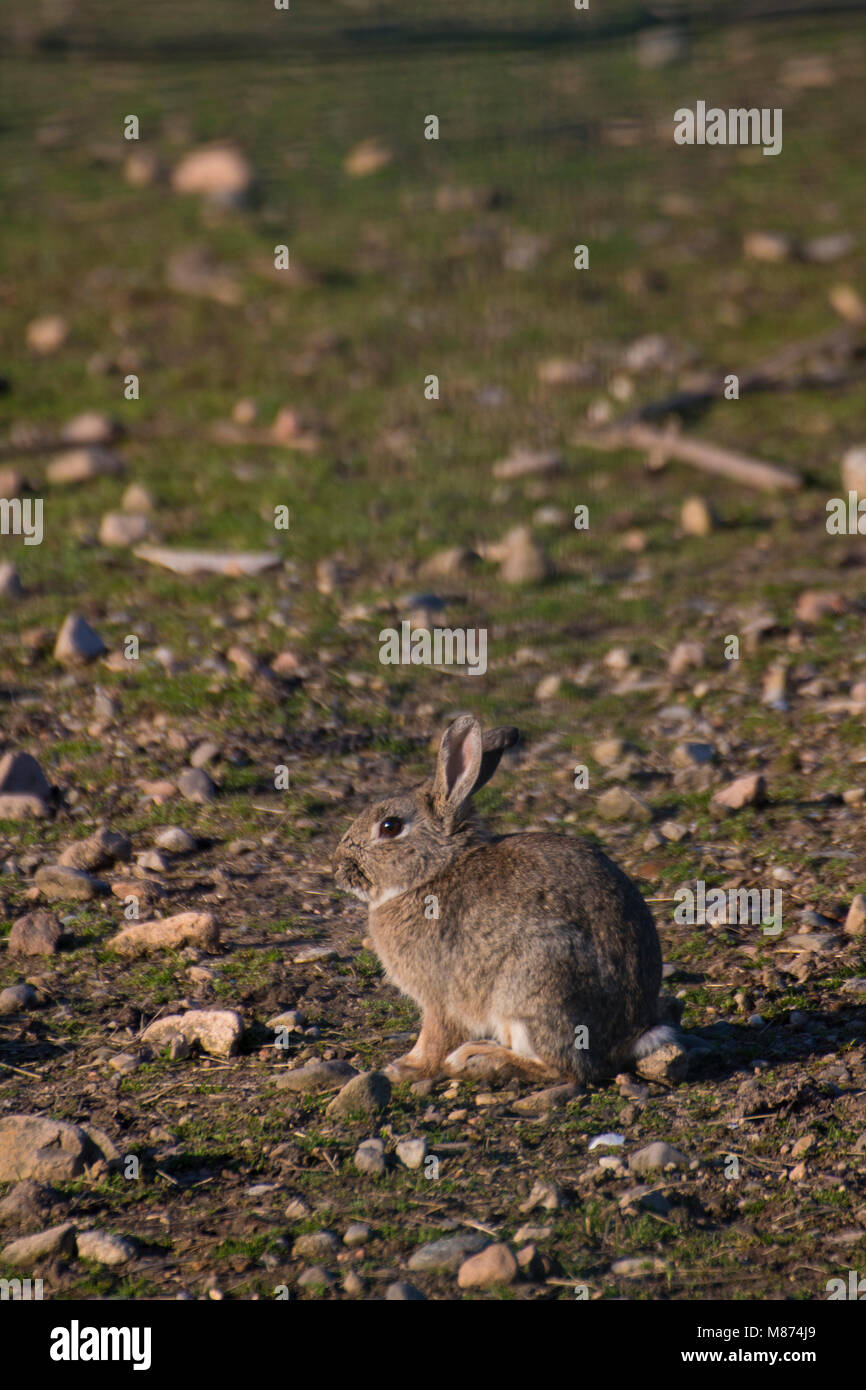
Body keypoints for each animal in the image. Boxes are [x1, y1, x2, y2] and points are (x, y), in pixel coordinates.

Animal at [333, 715, 677, 1084]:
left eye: (390, 826)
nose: (338, 867)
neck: (436, 869)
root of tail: (630, 1037)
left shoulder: (440, 998)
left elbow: (434, 1037)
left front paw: (405, 1068)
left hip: (532, 986)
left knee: (565, 1068)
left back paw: (476, 1058)